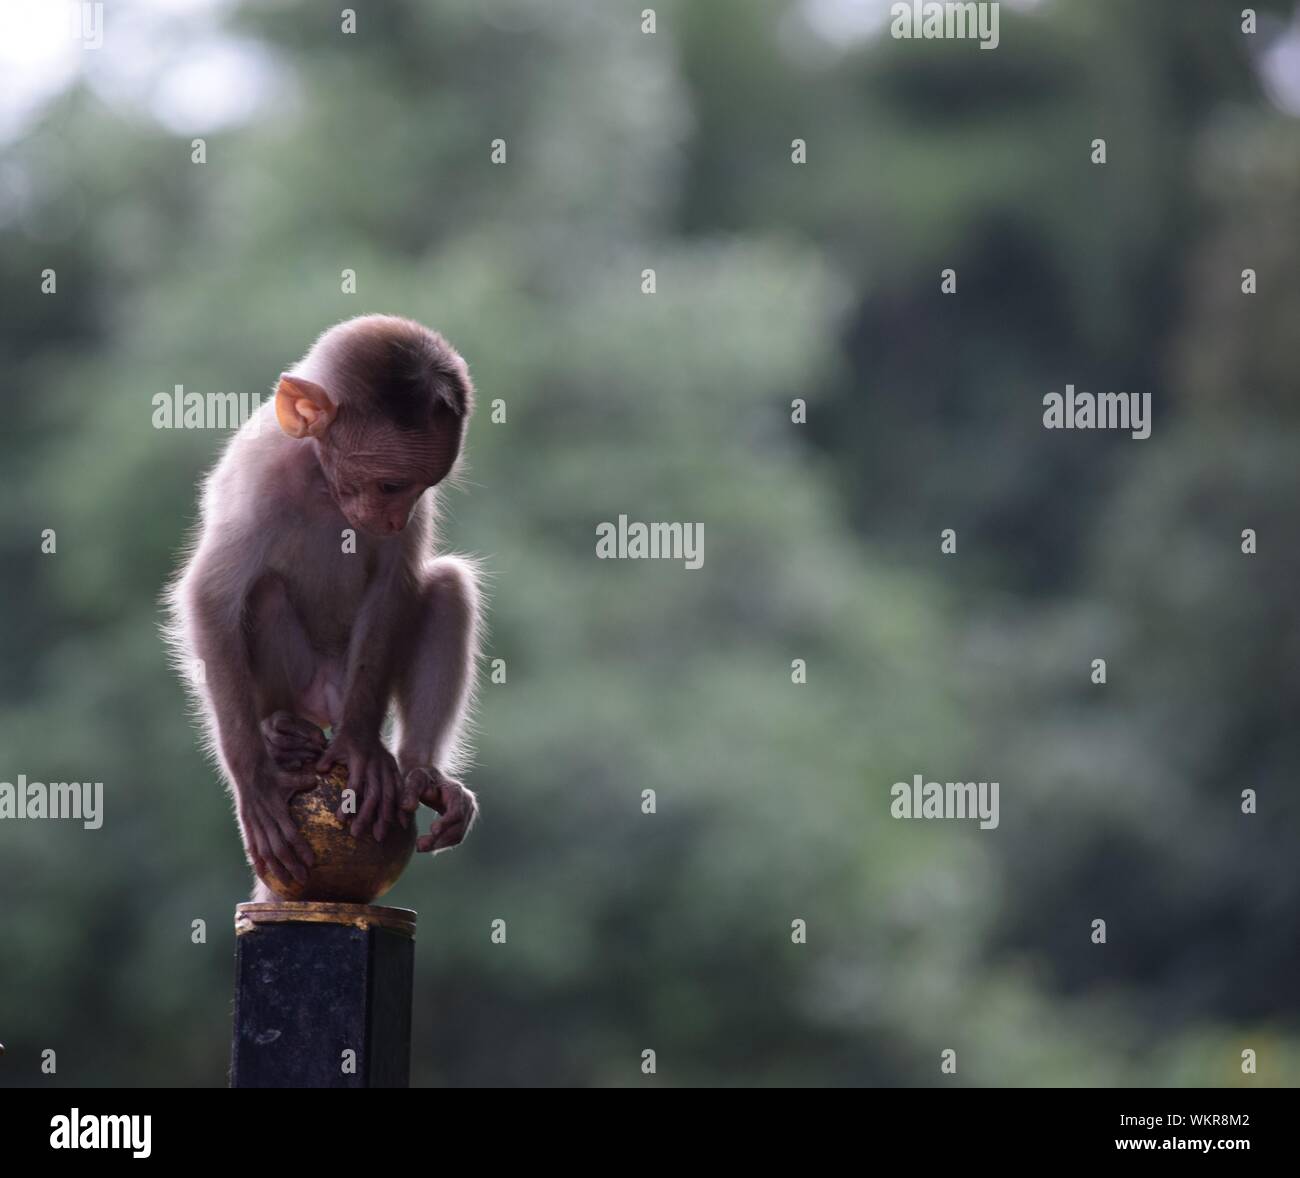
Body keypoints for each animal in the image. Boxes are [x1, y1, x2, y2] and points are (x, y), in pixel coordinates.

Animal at [164, 314, 482, 900]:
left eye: (419, 488)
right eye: (389, 484)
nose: (396, 520)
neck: (320, 479)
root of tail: (326, 702)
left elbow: (393, 587)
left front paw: (359, 745)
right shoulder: (259, 479)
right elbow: (211, 598)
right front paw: (255, 781)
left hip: (349, 681)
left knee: (447, 586)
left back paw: (421, 772)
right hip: (301, 683)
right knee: (262, 592)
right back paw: (280, 733)